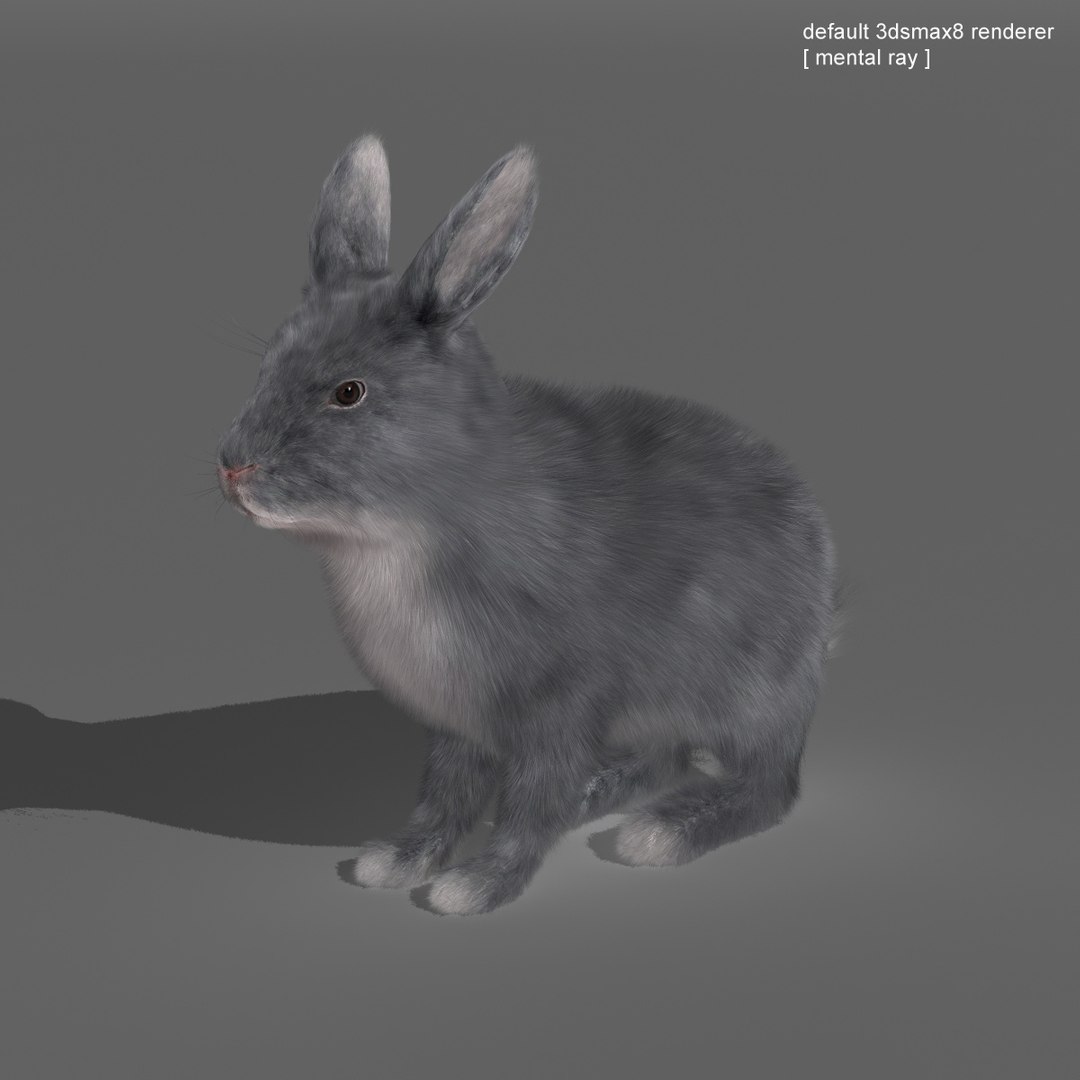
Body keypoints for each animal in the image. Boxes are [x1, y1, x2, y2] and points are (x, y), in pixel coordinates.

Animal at [217, 134, 842, 916]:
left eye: (349, 392)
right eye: (268, 360)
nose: (232, 467)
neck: (421, 517)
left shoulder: (559, 711)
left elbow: (529, 805)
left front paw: (475, 887)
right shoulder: (457, 724)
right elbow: (444, 796)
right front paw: (397, 860)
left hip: (751, 698)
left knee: (769, 785)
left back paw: (661, 832)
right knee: (667, 757)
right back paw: (603, 794)